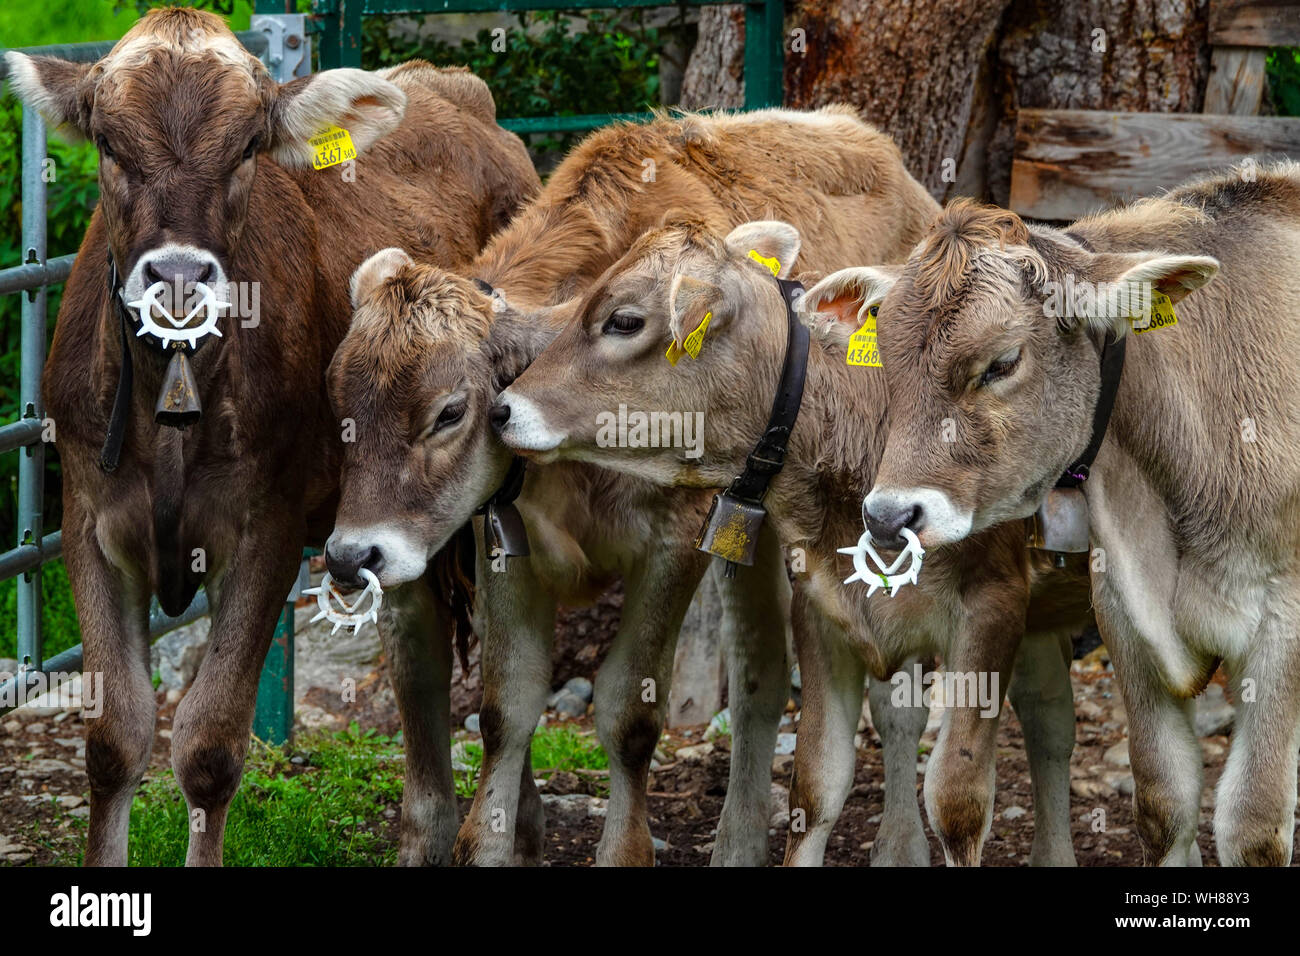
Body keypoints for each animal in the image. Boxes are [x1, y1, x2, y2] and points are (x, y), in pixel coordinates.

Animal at [3, 7, 538, 865]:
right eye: (109, 143)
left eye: (249, 144)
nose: (179, 277)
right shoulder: (87, 521)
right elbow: (116, 739)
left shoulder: (268, 529)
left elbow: (210, 745)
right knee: (415, 642)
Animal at [324, 107, 949, 865]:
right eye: (339, 406)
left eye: (448, 412)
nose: (352, 556)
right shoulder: (506, 541)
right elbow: (507, 708)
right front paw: (487, 844)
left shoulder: (673, 543)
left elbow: (629, 713)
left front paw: (624, 846)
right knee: (760, 677)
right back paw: (738, 843)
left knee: (894, 703)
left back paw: (899, 844)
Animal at [489, 217, 1092, 866]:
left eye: (623, 320)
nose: (501, 410)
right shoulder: (822, 607)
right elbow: (816, 784)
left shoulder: (993, 607)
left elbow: (957, 800)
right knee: (1051, 722)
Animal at [831, 163, 1300, 866]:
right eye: (885, 357)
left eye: (1001, 363)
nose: (888, 517)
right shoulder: (1126, 619)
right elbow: (1164, 801)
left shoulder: (1283, 626)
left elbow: (1253, 827)